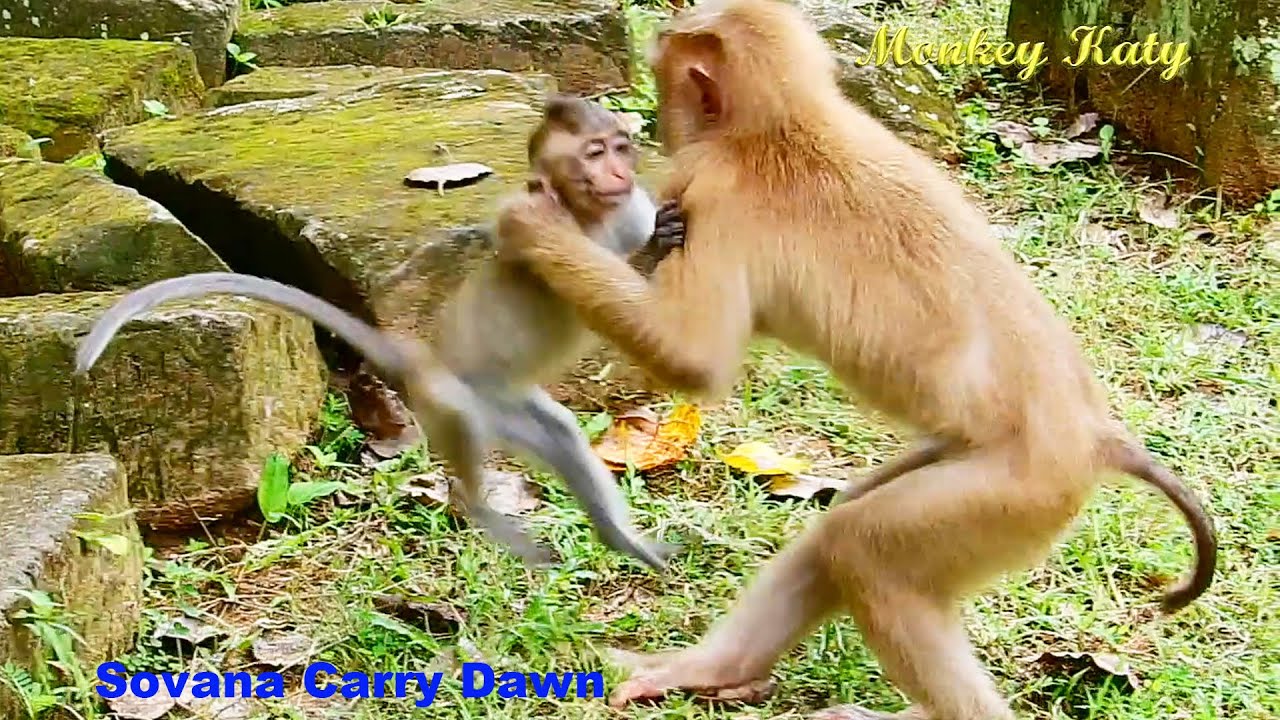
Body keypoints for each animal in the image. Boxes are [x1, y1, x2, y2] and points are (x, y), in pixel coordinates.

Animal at [74, 95, 685, 572]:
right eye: (594, 153)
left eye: (619, 147)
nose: (620, 171)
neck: (590, 216)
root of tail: (415, 362)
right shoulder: (532, 226)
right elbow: (597, 293)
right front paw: (645, 255)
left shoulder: (627, 208)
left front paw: (660, 236)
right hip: (446, 399)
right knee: (464, 438)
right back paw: (482, 511)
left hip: (509, 409)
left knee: (559, 434)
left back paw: (623, 542)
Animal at [493, 2, 1218, 717]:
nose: (646, 134)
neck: (786, 125)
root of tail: (1094, 434)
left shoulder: (712, 191)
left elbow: (691, 358)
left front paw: (534, 227)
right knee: (841, 524)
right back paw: (715, 668)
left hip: (1019, 488)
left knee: (864, 548)